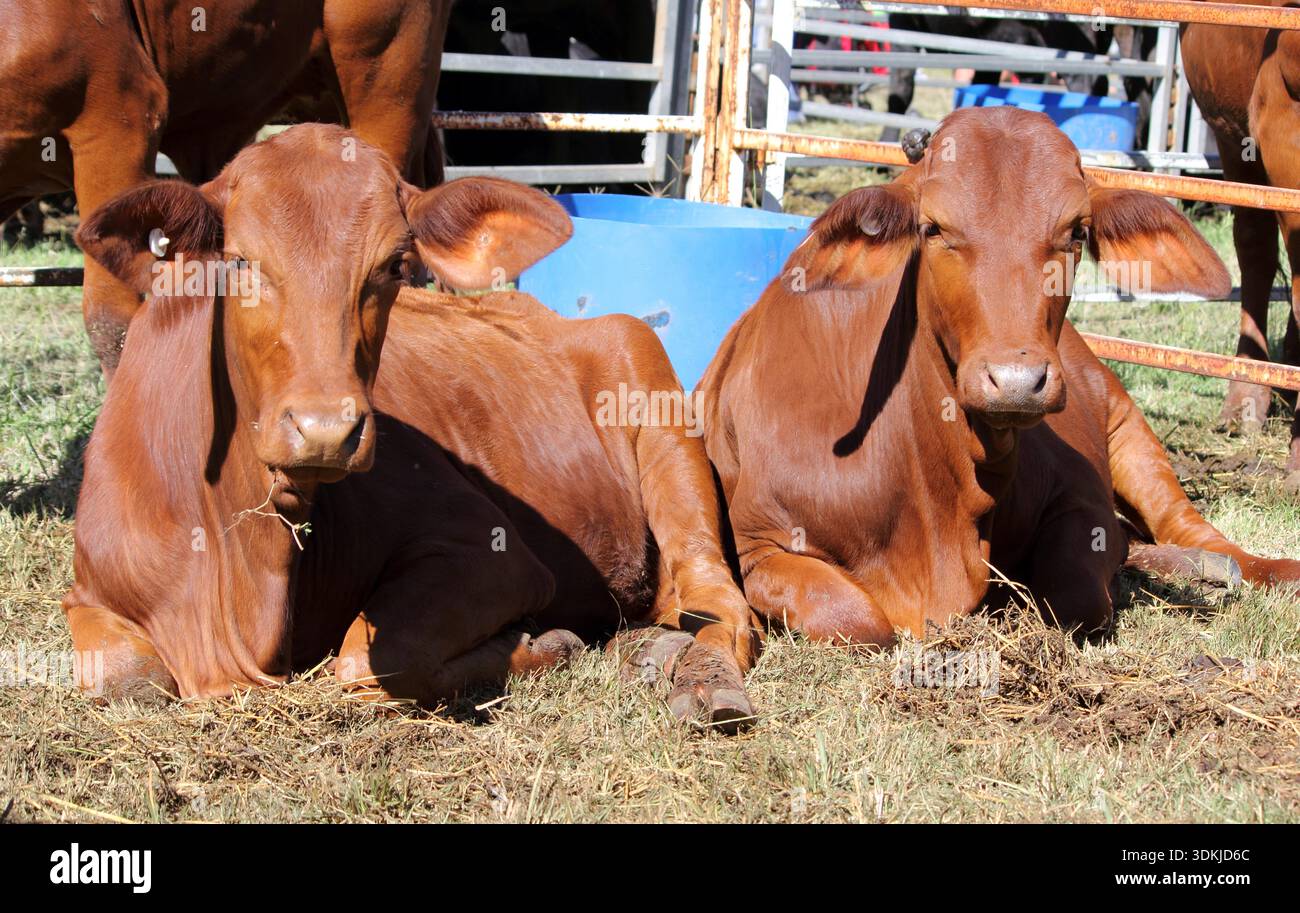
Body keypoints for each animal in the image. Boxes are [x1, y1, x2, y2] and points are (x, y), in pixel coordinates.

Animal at [64, 124, 758, 729]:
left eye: (395, 266)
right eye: (237, 263)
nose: (325, 430)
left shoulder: (491, 553)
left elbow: (369, 661)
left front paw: (546, 642)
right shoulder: (88, 591)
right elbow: (125, 676)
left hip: (661, 411)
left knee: (715, 594)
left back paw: (704, 679)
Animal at [699, 106, 1300, 645]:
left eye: (1076, 231)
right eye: (933, 228)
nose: (1016, 380)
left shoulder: (1082, 498)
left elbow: (1077, 597)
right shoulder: (760, 544)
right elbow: (859, 620)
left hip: (1129, 430)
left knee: (1189, 527)